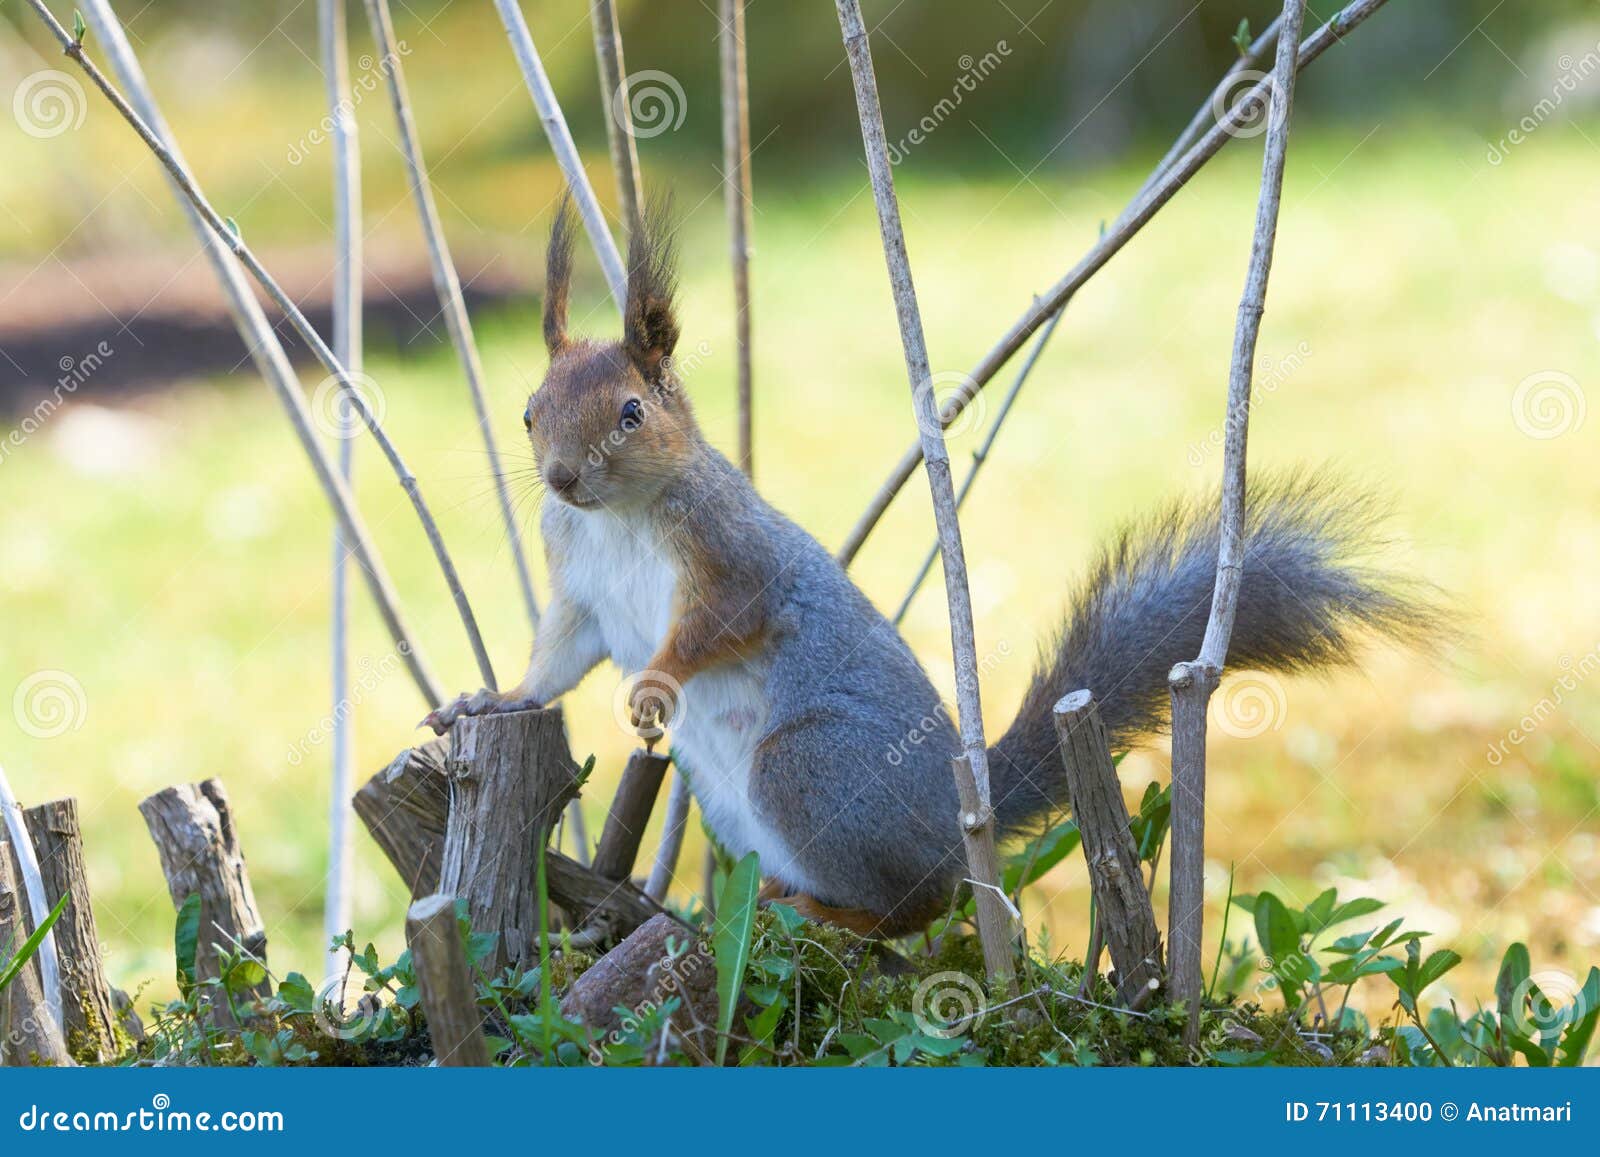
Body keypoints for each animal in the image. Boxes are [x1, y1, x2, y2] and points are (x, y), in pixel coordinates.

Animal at [425, 199, 1440, 937]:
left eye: (632, 412)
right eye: (529, 411)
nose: (561, 476)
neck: (618, 520)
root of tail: (963, 823)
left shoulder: (733, 558)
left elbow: (719, 623)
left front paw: (653, 685)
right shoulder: (581, 593)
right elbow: (555, 659)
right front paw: (492, 698)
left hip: (808, 770)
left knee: (922, 906)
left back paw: (841, 913)